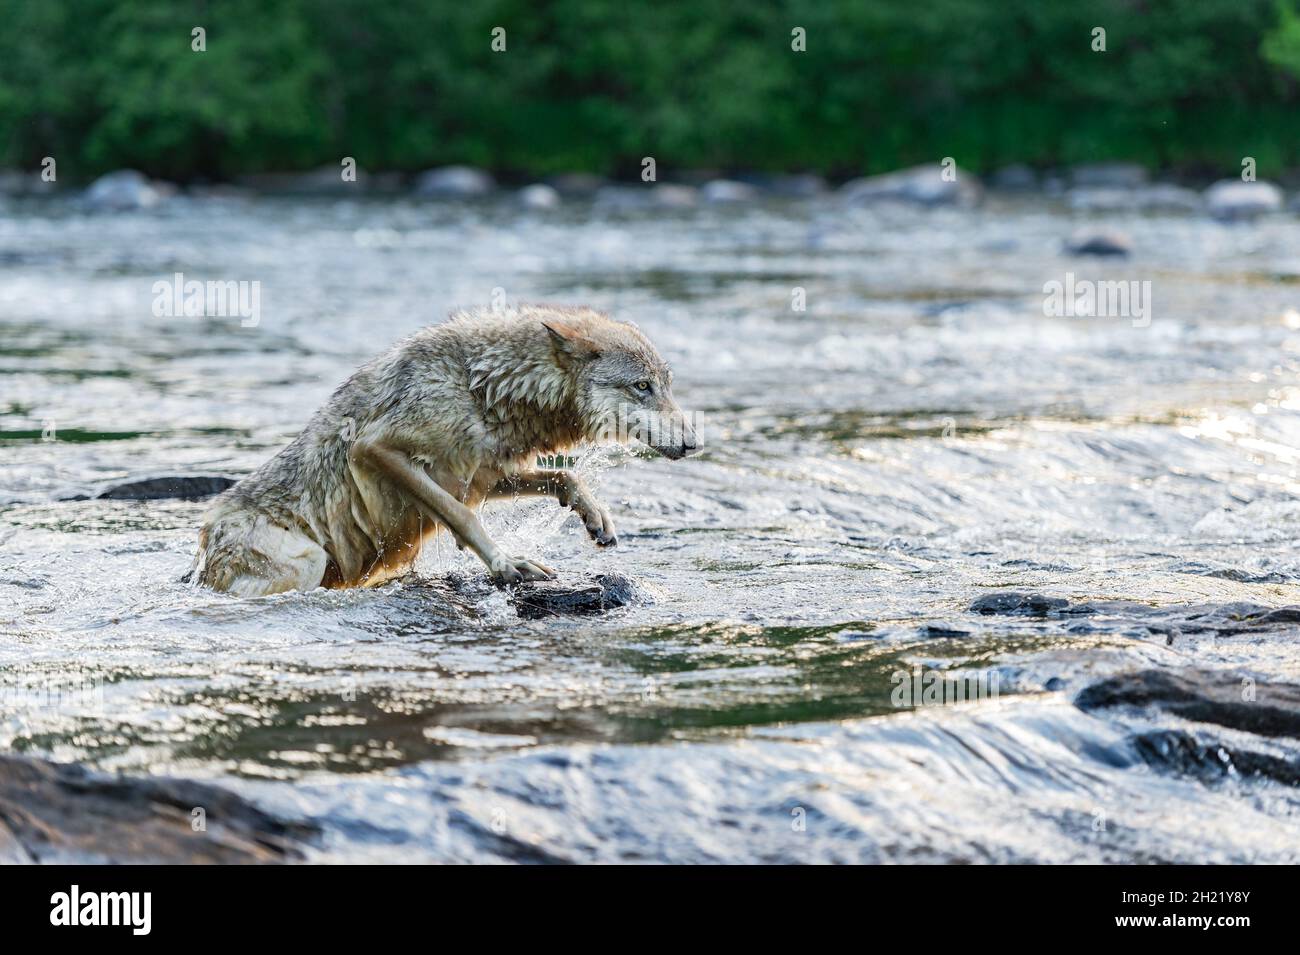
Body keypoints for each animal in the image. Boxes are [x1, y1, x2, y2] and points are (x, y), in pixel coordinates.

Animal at [189, 305, 700, 596]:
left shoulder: (485, 474)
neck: (487, 385)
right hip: (308, 562)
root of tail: (205, 542)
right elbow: (460, 516)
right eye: (641, 387)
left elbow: (564, 476)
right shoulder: (375, 450)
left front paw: (595, 517)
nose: (694, 443)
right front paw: (507, 564)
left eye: (667, 385)